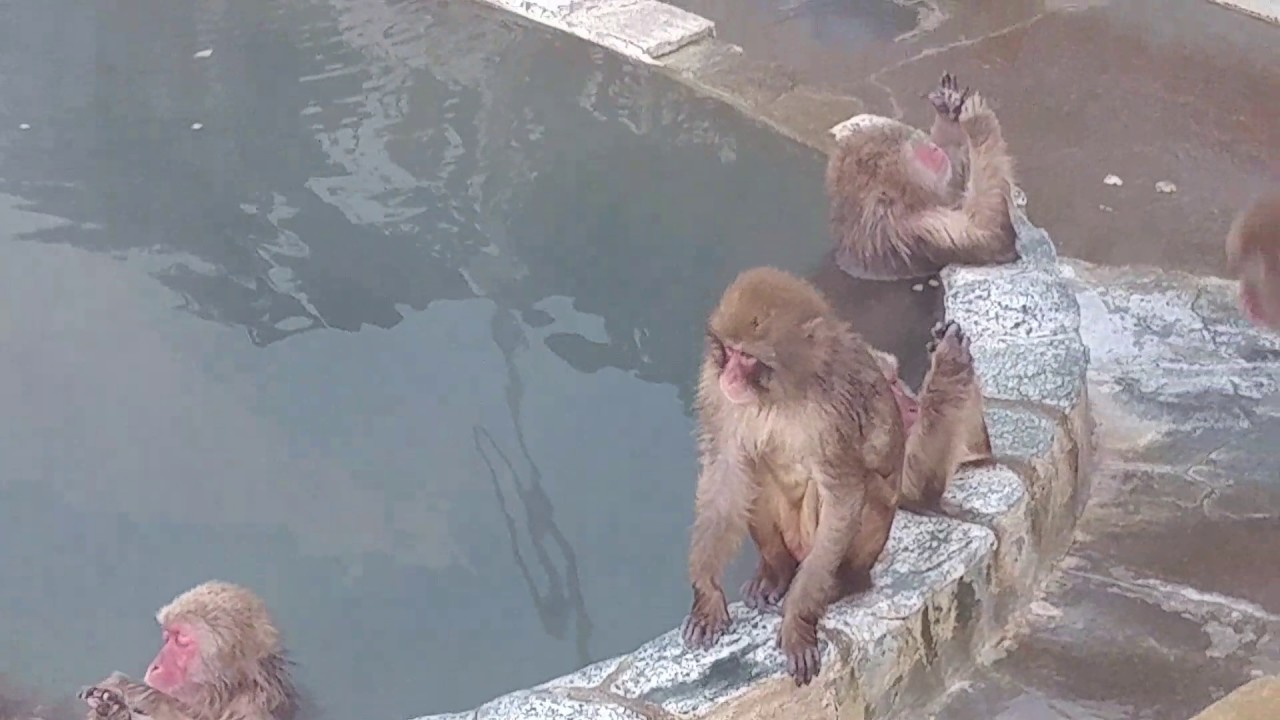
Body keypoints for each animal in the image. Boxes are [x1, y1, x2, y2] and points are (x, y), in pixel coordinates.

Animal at [680, 266, 988, 686]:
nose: (730, 376)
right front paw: (706, 592)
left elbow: (842, 493)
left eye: (747, 357)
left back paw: (842, 583)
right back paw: (777, 572)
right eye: (729, 351)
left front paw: (797, 621)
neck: (781, 392)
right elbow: (727, 471)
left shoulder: (833, 412)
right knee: (754, 465)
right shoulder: (716, 393)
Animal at [827, 72, 1019, 281]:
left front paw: (948, 111)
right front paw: (978, 124)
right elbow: (993, 236)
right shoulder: (918, 228)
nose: (934, 148)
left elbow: (953, 185)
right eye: (921, 154)